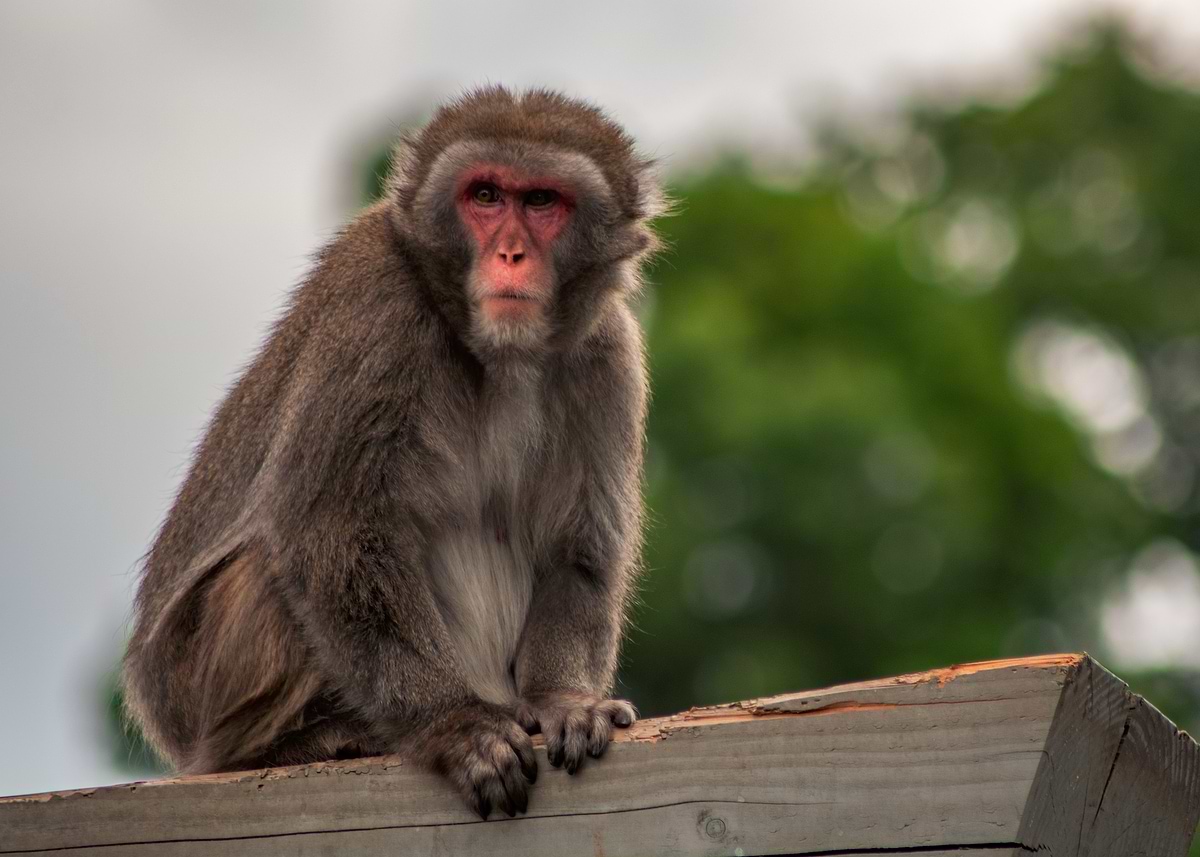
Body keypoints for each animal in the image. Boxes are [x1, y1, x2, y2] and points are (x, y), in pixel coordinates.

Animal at [121, 86, 667, 820]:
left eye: (542, 201)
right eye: (485, 195)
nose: (511, 254)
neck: (492, 352)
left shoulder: (606, 352)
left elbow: (575, 546)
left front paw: (562, 700)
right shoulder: (376, 311)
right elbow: (334, 532)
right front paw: (454, 725)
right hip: (199, 675)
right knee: (273, 561)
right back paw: (297, 743)